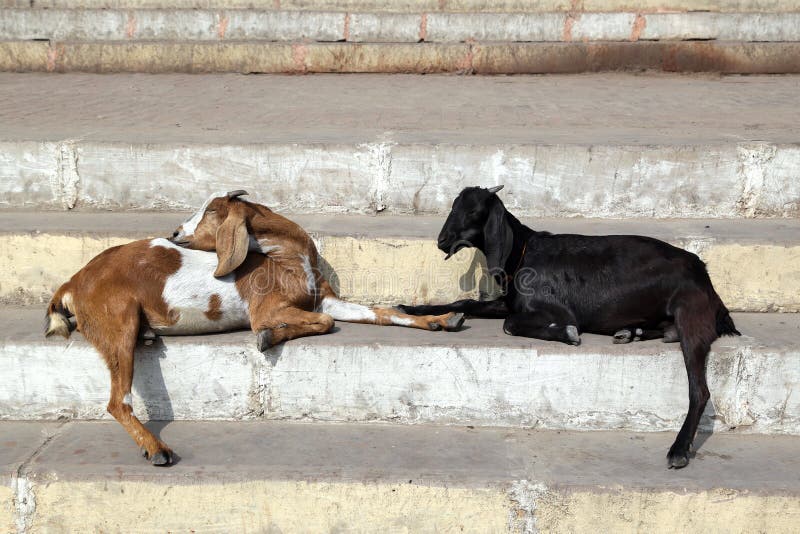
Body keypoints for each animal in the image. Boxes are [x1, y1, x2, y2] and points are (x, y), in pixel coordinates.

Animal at [45, 190, 465, 465]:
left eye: (210, 211)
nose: (175, 232)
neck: (284, 256)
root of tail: (72, 283)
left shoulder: (324, 298)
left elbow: (380, 311)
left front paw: (441, 319)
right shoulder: (268, 308)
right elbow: (322, 323)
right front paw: (267, 338)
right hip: (118, 319)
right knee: (118, 400)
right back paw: (157, 448)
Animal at [397, 185, 740, 468]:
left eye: (473, 211)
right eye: (455, 205)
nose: (442, 241)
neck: (523, 252)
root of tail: (704, 276)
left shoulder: (557, 310)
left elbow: (512, 325)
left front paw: (566, 334)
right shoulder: (507, 303)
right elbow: (464, 303)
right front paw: (411, 309)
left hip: (690, 313)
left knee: (699, 388)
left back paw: (679, 449)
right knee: (667, 334)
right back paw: (631, 332)